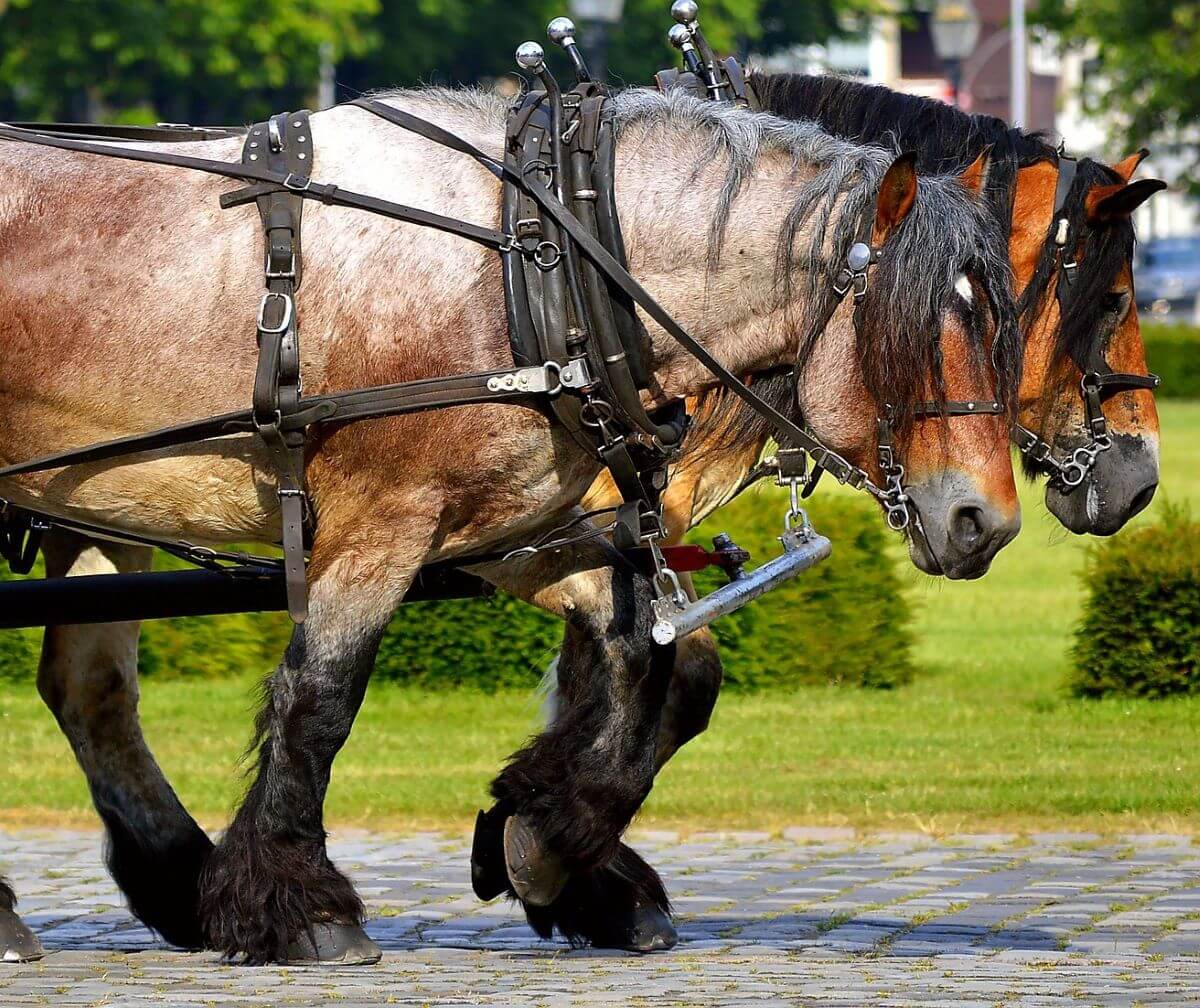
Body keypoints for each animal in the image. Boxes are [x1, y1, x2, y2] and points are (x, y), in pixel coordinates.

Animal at [0, 86, 1020, 964]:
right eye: (911, 334)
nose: (988, 522)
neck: (528, 263)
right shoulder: (383, 524)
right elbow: (317, 701)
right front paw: (299, 904)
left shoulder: (518, 533)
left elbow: (650, 666)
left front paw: (547, 841)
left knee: (88, 691)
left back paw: (165, 882)